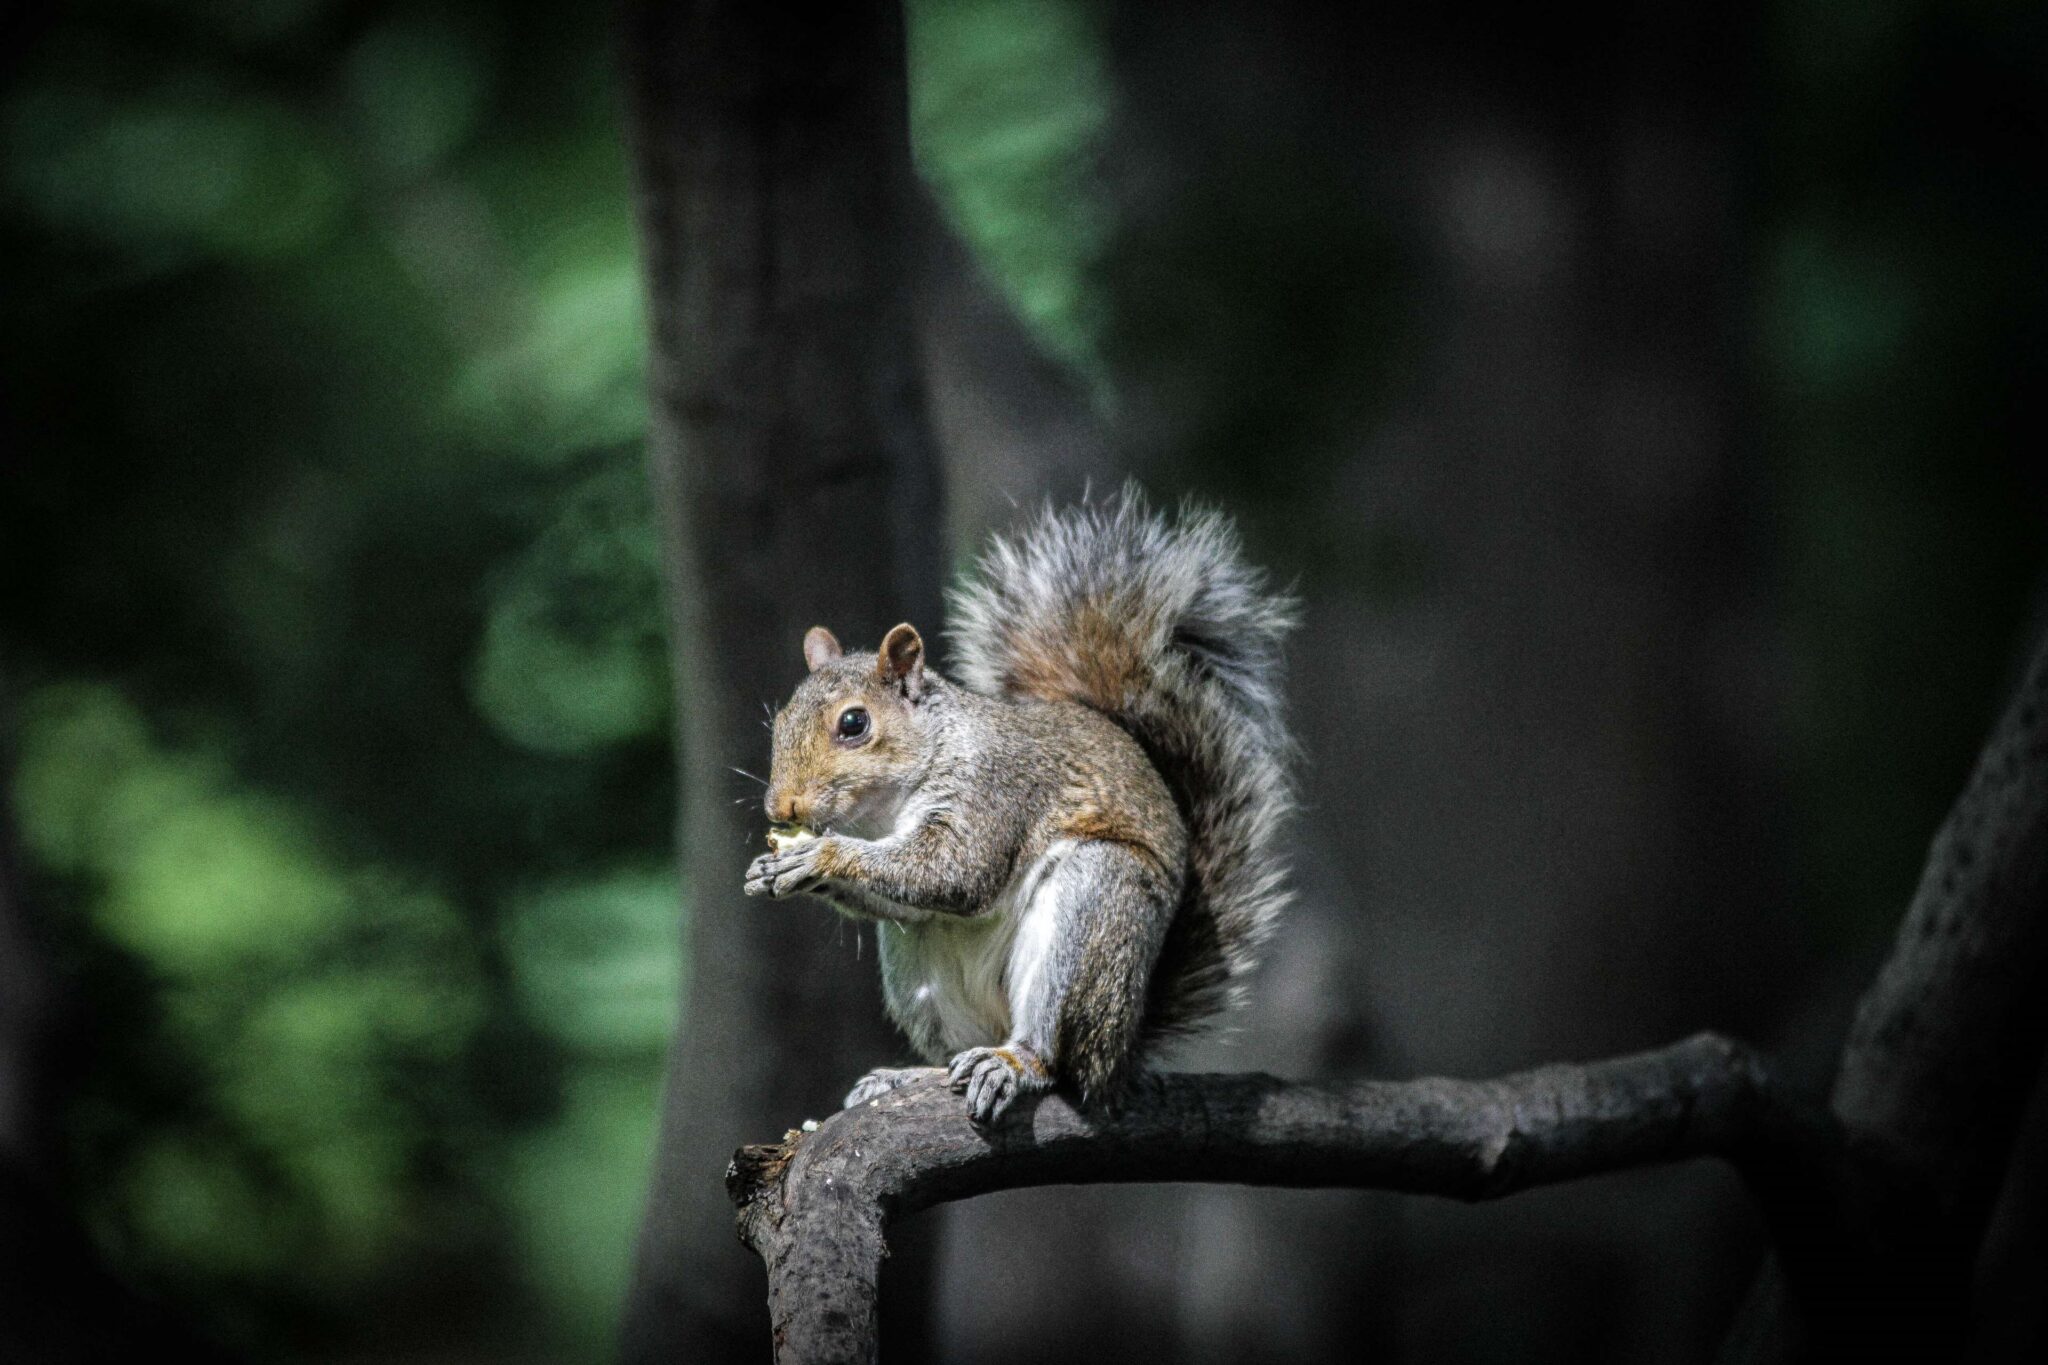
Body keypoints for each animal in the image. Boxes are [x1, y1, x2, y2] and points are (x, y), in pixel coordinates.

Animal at [742, 487, 1296, 1124]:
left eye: (854, 724)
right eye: (782, 718)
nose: (781, 808)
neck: (885, 811)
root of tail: (1121, 1055)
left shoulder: (995, 791)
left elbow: (956, 872)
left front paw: (820, 856)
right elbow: (907, 898)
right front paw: (769, 868)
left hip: (1094, 915)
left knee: (1057, 1057)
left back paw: (1014, 1062)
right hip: (915, 970)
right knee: (951, 1041)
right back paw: (909, 1077)